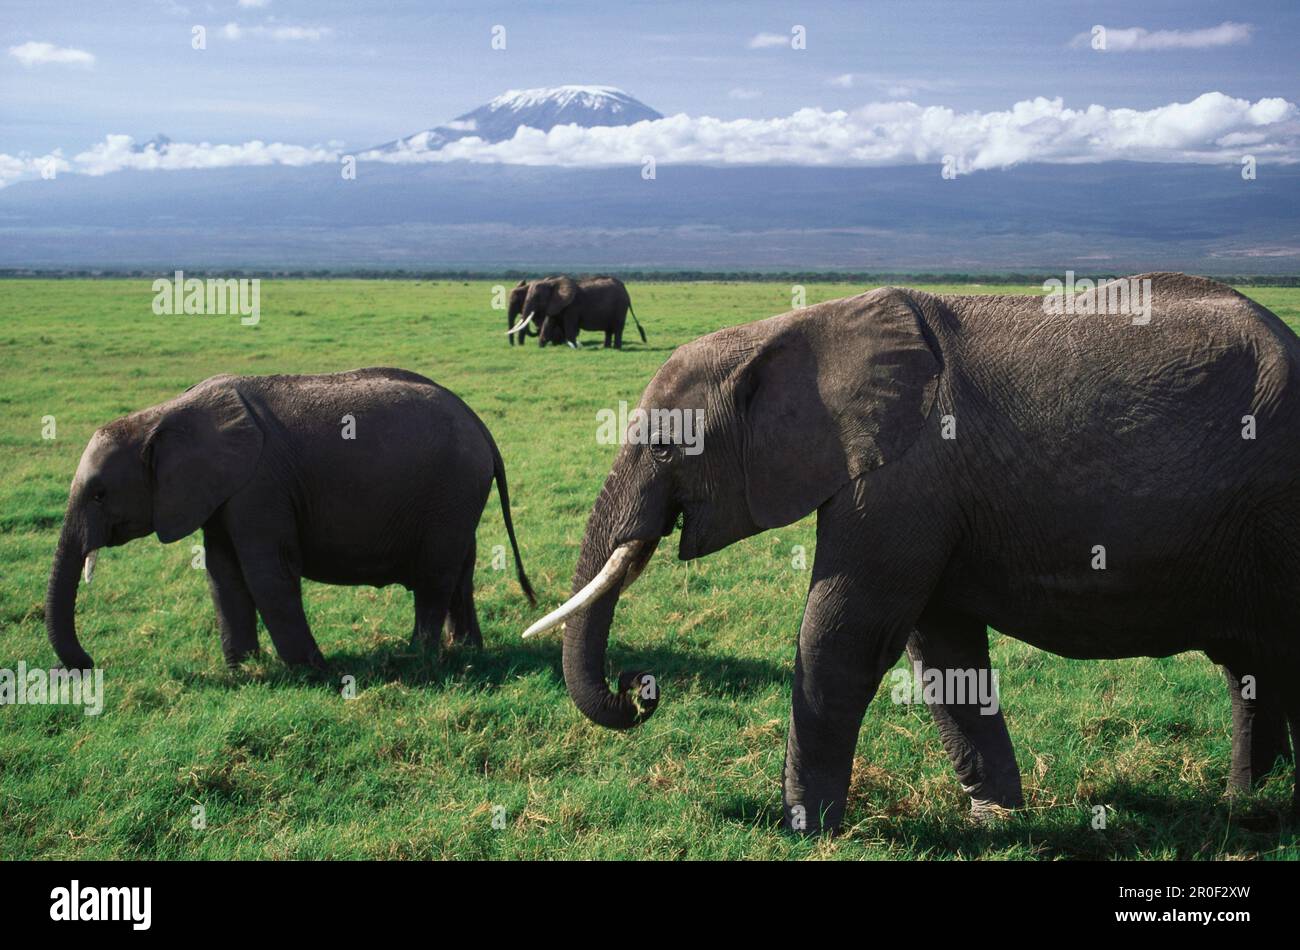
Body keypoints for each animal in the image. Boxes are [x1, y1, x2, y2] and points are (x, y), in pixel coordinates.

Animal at [46, 367, 535, 671]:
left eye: (99, 494)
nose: (89, 663)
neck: (160, 416)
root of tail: (480, 425)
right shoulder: (224, 492)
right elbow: (223, 574)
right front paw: (243, 669)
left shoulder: (259, 486)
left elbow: (268, 573)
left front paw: (312, 670)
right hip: (457, 496)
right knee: (461, 570)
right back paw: (466, 651)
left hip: (451, 489)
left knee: (435, 575)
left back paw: (415, 657)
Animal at [508, 275, 646, 349]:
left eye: (537, 297)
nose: (515, 346)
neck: (551, 283)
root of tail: (625, 290)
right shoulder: (556, 303)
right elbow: (549, 323)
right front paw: (541, 346)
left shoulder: (572, 306)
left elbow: (569, 326)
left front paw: (574, 347)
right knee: (608, 330)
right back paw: (605, 348)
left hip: (620, 307)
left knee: (617, 328)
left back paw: (616, 348)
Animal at [522, 273, 1300, 834]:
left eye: (663, 447)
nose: (639, 686)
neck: (787, 332)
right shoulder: (922, 489)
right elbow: (943, 650)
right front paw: (995, 821)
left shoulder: (902, 475)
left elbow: (844, 637)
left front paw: (806, 830)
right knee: (1253, 670)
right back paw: (1247, 805)